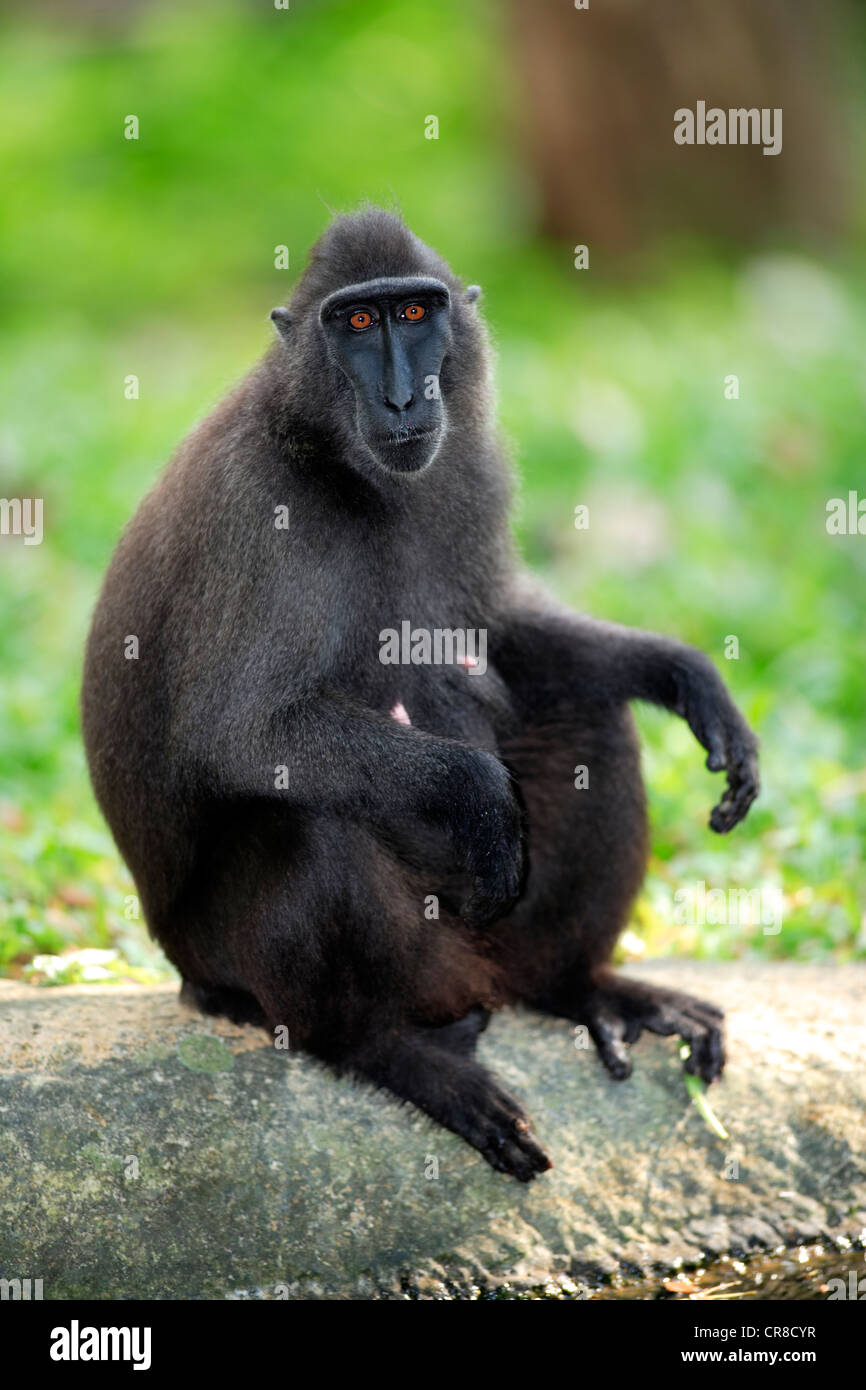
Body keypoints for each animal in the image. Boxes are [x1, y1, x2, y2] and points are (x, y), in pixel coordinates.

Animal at [82, 207, 759, 1181]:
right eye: (358, 323)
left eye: (415, 311)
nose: (406, 399)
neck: (339, 461)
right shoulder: (261, 504)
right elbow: (239, 733)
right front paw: (481, 804)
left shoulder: (468, 468)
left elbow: (500, 629)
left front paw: (687, 677)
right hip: (292, 967)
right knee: (312, 822)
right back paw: (382, 1051)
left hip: (493, 945)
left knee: (588, 713)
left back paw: (581, 987)